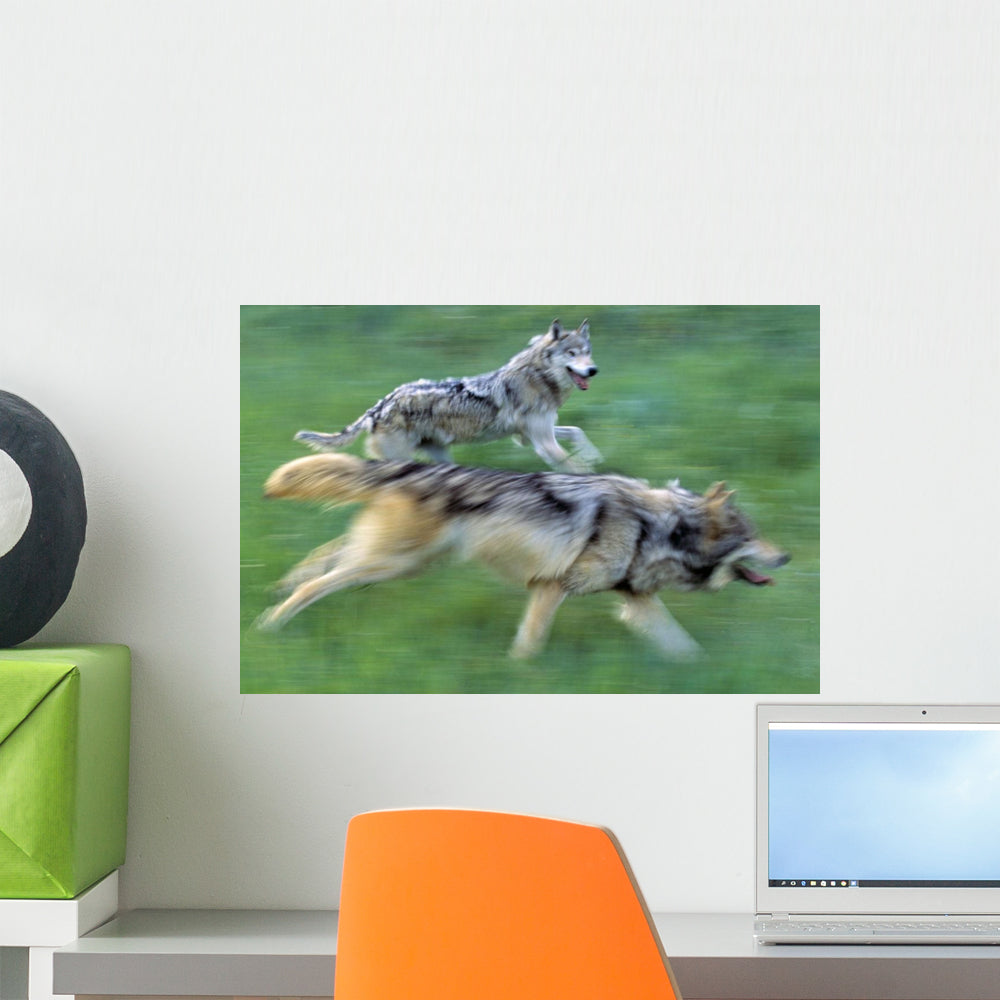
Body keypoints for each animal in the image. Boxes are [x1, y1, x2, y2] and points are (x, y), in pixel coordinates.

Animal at [257, 454, 789, 659]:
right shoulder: (552, 587)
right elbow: (530, 645)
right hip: (393, 564)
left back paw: (278, 592)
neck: (657, 527)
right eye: (754, 537)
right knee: (318, 581)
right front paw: (520, 675)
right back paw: (270, 626)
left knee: (322, 558)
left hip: (398, 562)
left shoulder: (635, 599)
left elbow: (683, 648)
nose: (786, 557)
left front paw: (703, 674)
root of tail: (400, 467)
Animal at [294, 319, 601, 471]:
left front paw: (594, 455)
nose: (593, 370)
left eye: (588, 352)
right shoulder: (542, 442)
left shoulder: (528, 437)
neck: (538, 378)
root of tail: (379, 406)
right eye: (571, 353)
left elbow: (577, 432)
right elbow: (578, 469)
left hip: (441, 458)